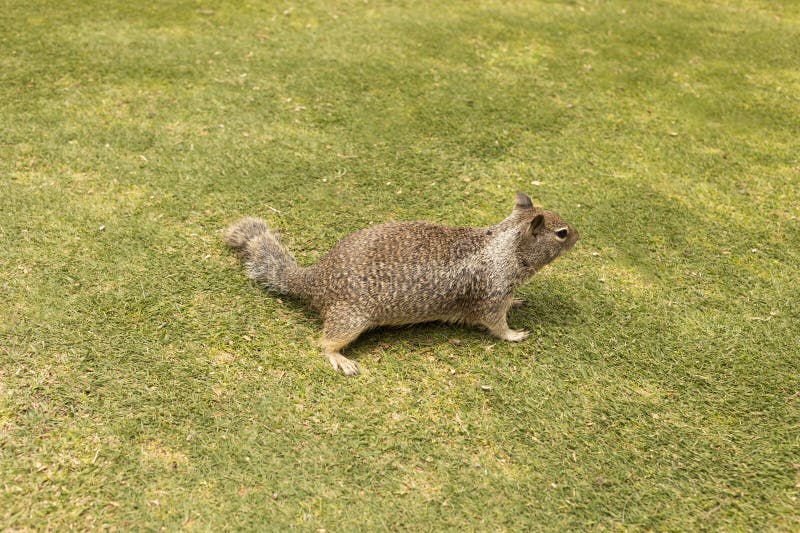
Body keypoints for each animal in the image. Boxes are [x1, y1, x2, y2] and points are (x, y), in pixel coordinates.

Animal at [224, 192, 579, 376]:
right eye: (561, 233)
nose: (579, 235)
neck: (505, 248)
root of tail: (313, 279)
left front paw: (518, 302)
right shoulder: (490, 296)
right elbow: (496, 324)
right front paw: (515, 334)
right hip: (350, 318)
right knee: (324, 342)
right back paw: (340, 359)